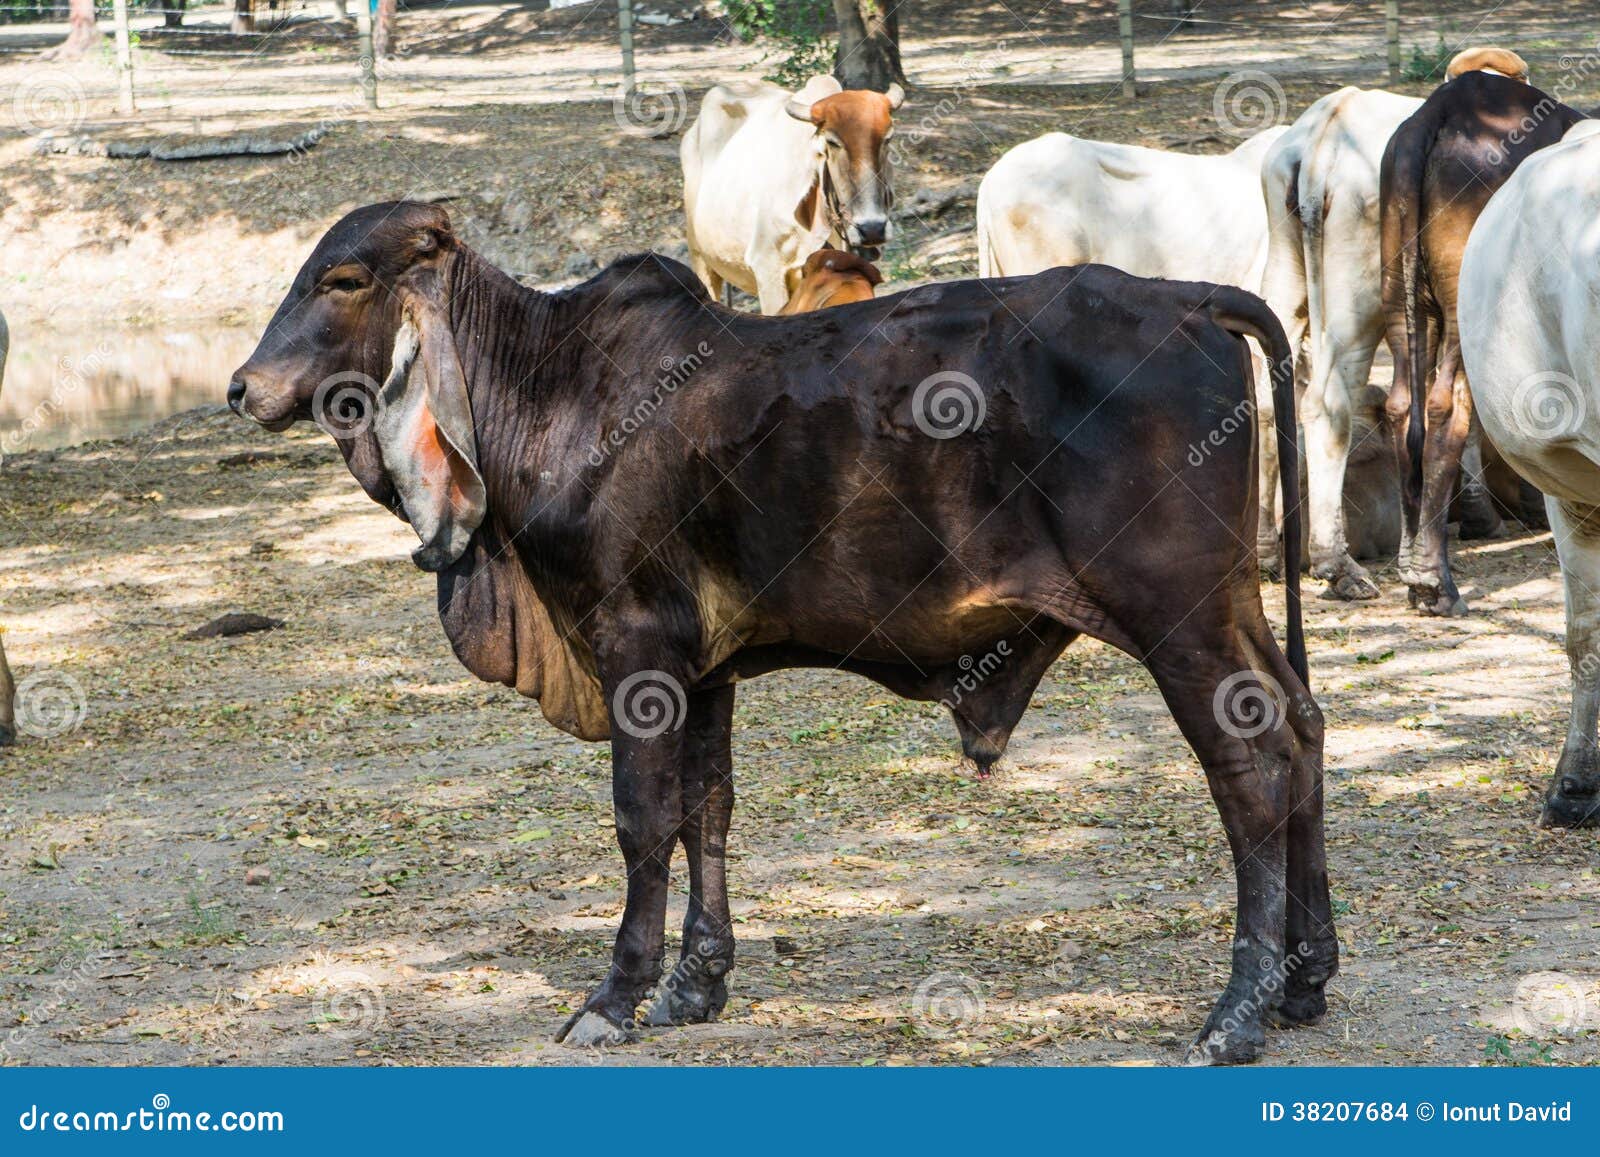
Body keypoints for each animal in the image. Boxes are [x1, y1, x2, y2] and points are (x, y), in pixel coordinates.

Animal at [229, 201, 1332, 1065]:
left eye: (343, 277)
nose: (242, 386)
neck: (552, 388)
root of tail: (1191, 298)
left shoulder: (634, 646)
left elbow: (641, 821)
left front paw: (616, 993)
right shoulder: (703, 667)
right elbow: (705, 811)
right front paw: (695, 982)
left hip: (1177, 617)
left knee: (1250, 770)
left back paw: (1236, 1012)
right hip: (1234, 607)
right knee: (1306, 726)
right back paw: (1305, 978)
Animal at [1379, 69, 1587, 615]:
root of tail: (1440, 111)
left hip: (1404, 302)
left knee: (1402, 406)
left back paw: (1413, 564)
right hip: (1464, 309)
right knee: (1446, 410)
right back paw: (1434, 582)